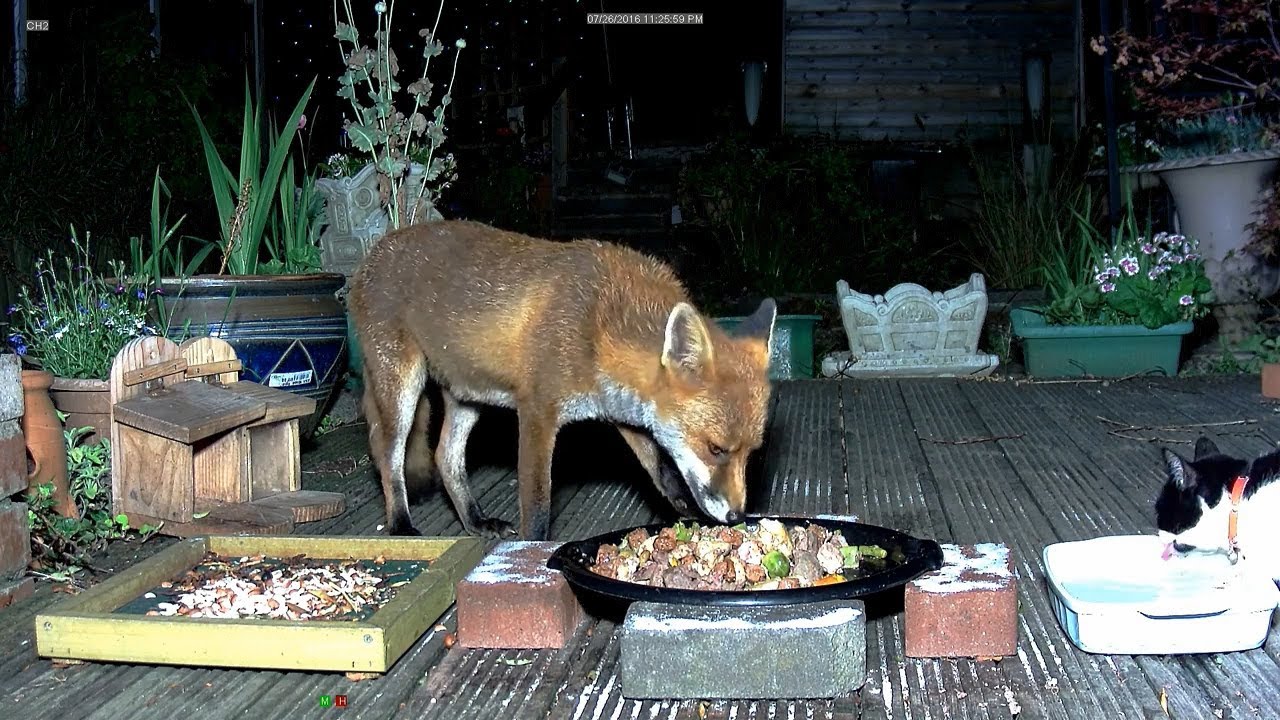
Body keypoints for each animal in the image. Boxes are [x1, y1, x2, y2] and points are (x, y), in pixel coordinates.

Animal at [346, 219, 777, 540]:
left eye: (752, 454)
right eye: (716, 449)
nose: (737, 516)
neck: (598, 322)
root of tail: (378, 248)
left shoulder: (622, 412)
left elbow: (662, 470)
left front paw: (688, 514)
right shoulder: (537, 411)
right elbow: (537, 506)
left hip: (469, 396)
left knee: (444, 456)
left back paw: (476, 521)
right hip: (401, 386)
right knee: (387, 454)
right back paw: (400, 524)